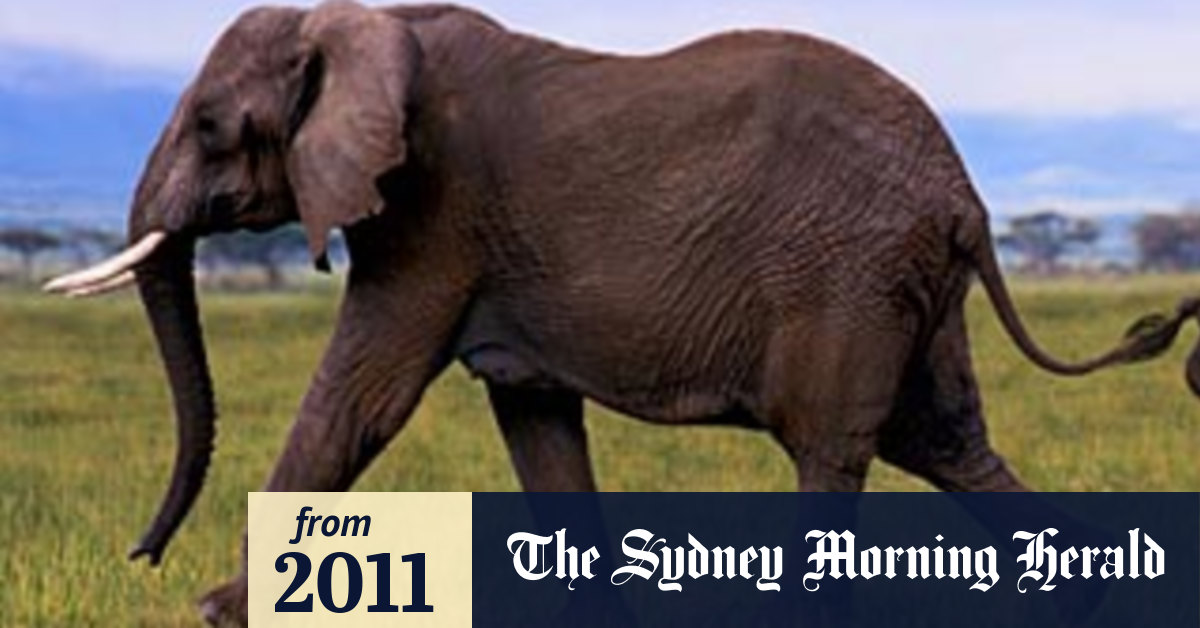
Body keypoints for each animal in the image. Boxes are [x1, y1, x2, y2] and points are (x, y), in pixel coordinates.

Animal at [45, 1, 1200, 624]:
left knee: (832, 447)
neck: (365, 21)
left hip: (846, 277)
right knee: (945, 440)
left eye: (209, 125)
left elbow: (359, 399)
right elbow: (534, 420)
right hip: (910, 288)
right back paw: (1084, 595)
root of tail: (966, 196)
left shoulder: (431, 211)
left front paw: (219, 613)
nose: (142, 559)